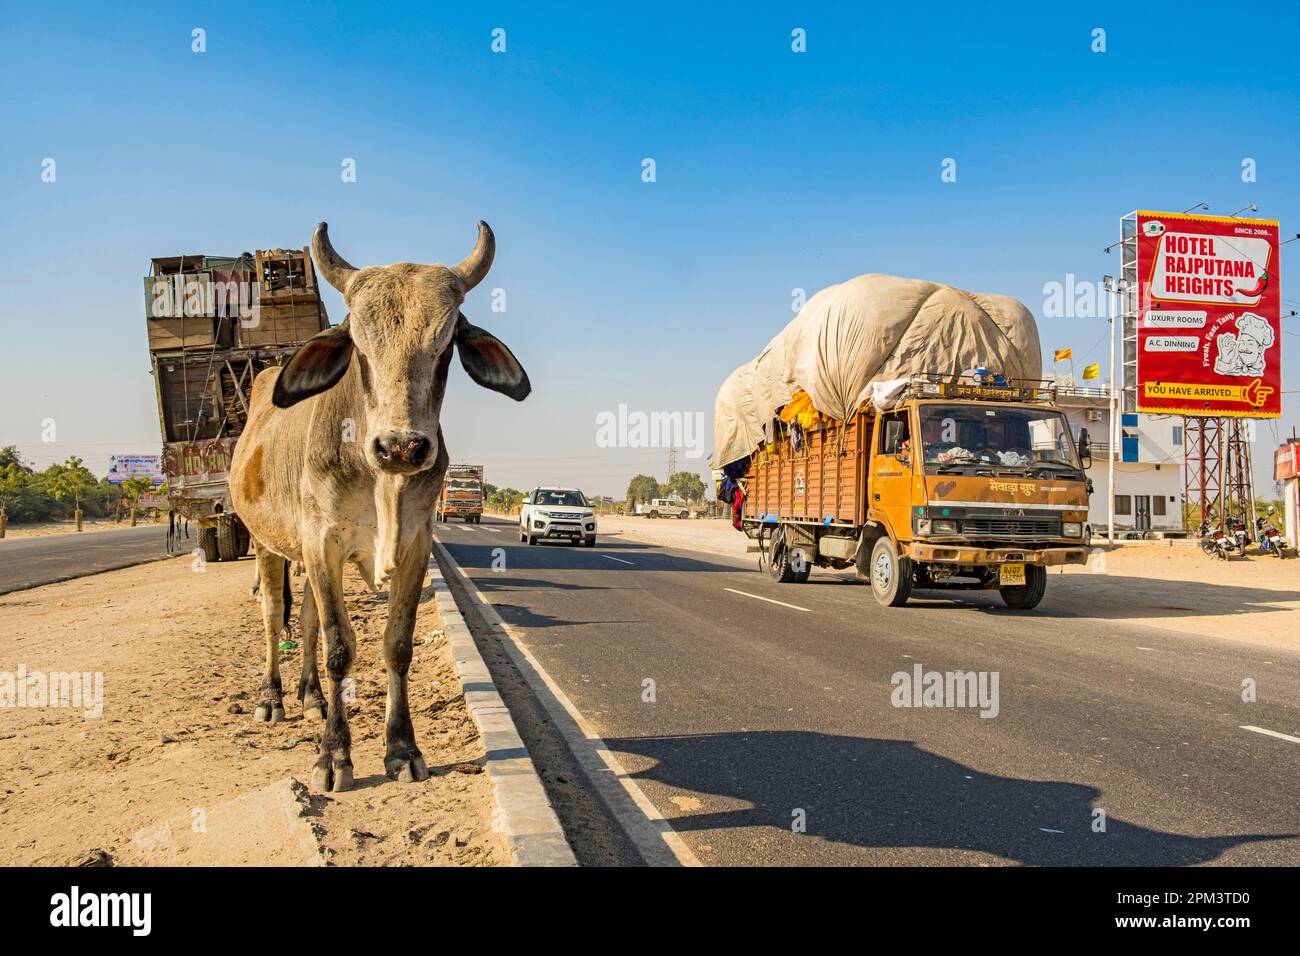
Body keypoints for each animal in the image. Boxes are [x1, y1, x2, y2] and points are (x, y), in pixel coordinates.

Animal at [229, 221, 529, 792]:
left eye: (445, 346)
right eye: (359, 347)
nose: (402, 447)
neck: (382, 482)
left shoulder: (415, 545)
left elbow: (396, 644)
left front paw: (401, 748)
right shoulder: (322, 543)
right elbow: (340, 648)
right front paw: (333, 757)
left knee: (305, 618)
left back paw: (311, 698)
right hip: (267, 542)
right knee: (274, 616)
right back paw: (273, 698)